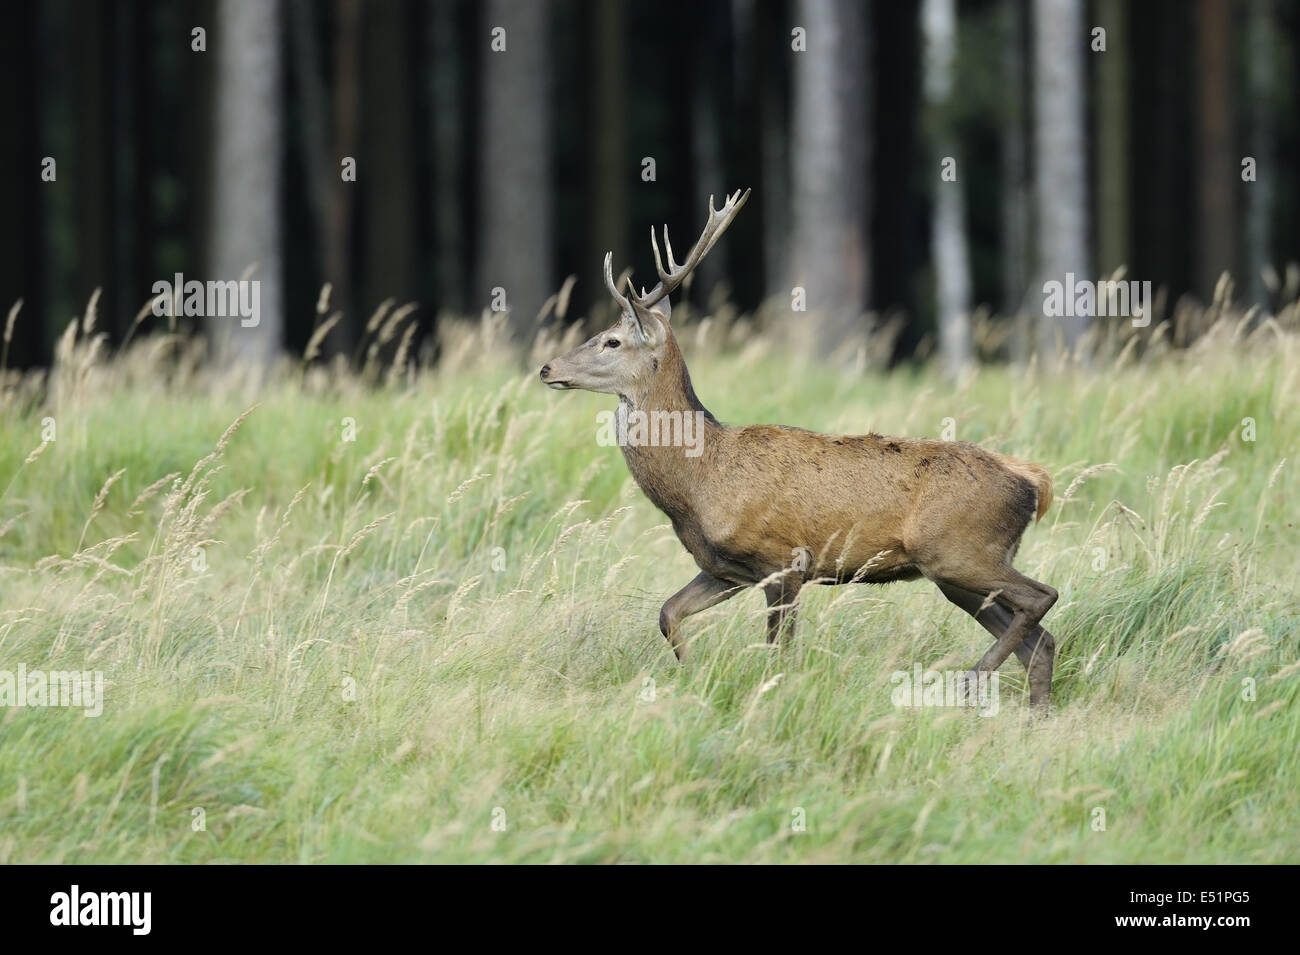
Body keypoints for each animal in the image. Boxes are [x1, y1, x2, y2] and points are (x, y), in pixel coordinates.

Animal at [539, 189, 1060, 711]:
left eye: (612, 340)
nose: (547, 368)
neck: (700, 481)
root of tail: (1033, 481)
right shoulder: (725, 569)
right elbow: (668, 613)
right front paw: (693, 678)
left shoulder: (784, 561)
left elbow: (779, 655)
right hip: (953, 573)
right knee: (1041, 641)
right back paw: (1030, 714)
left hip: (961, 551)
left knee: (1042, 598)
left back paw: (972, 679)